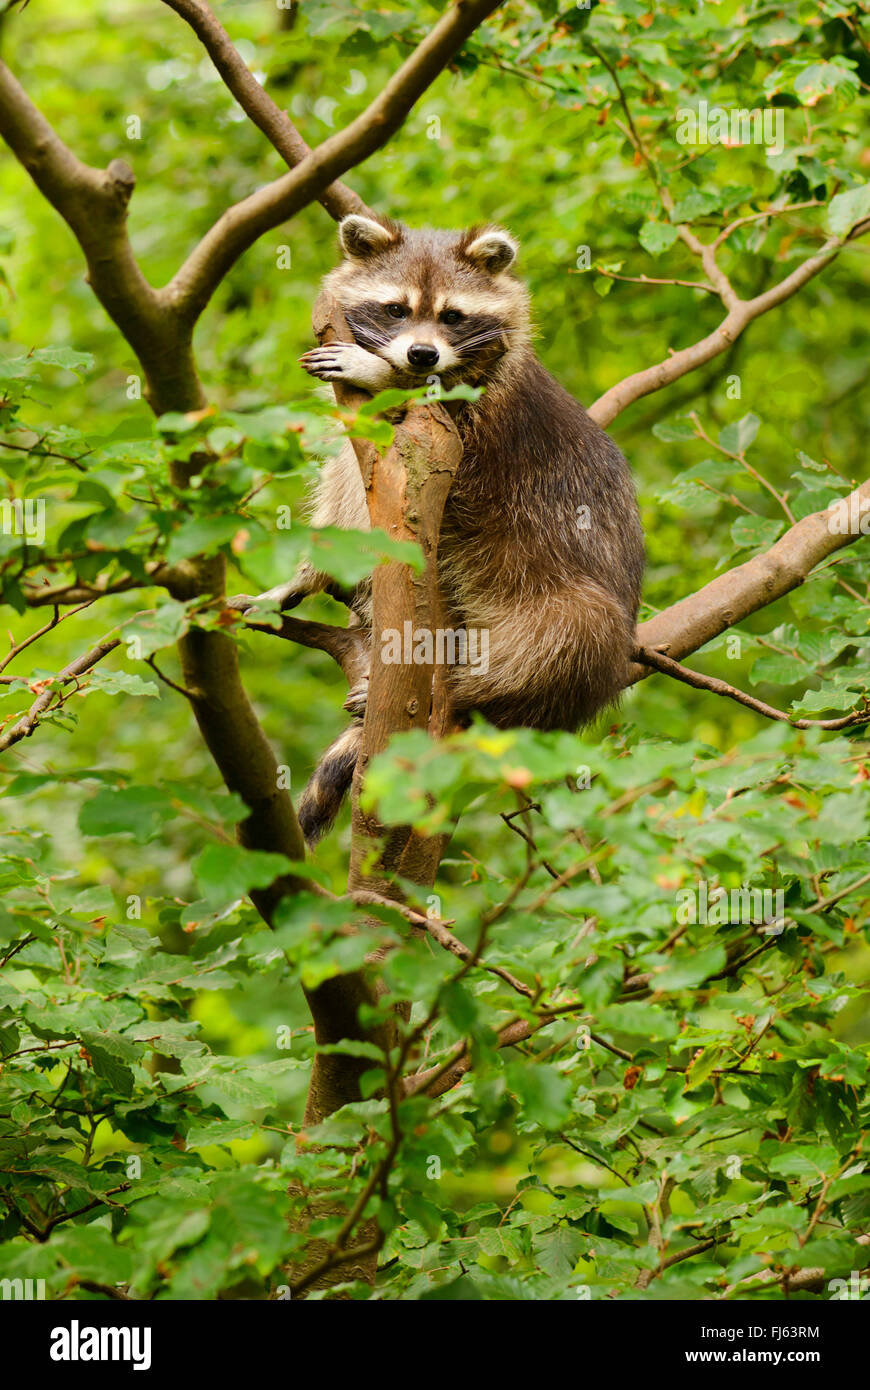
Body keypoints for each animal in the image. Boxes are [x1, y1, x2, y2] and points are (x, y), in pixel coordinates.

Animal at [255, 215, 644, 845]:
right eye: (395, 309)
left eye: (454, 316)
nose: (419, 354)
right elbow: (344, 482)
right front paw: (304, 575)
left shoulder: (474, 422)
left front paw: (381, 370)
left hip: (564, 615)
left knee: (567, 636)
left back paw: (469, 684)